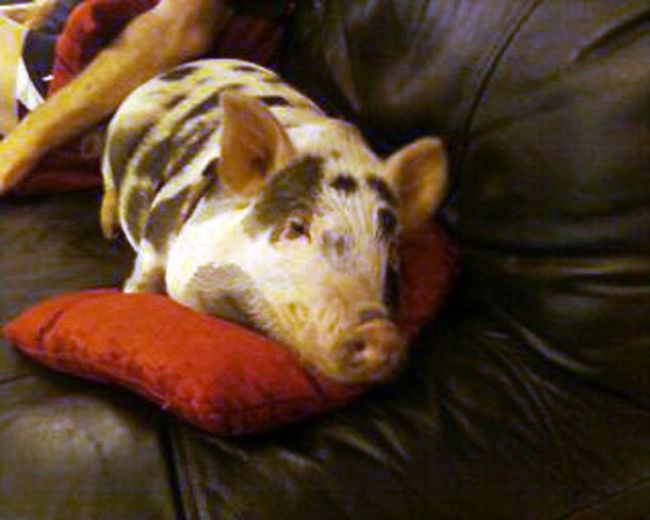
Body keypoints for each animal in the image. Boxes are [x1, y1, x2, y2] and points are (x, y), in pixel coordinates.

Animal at [100, 59, 447, 384]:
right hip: (119, 129)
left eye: (393, 255)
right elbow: (141, 285)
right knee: (109, 181)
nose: (380, 332)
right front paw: (132, 294)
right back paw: (108, 228)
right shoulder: (155, 241)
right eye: (295, 227)